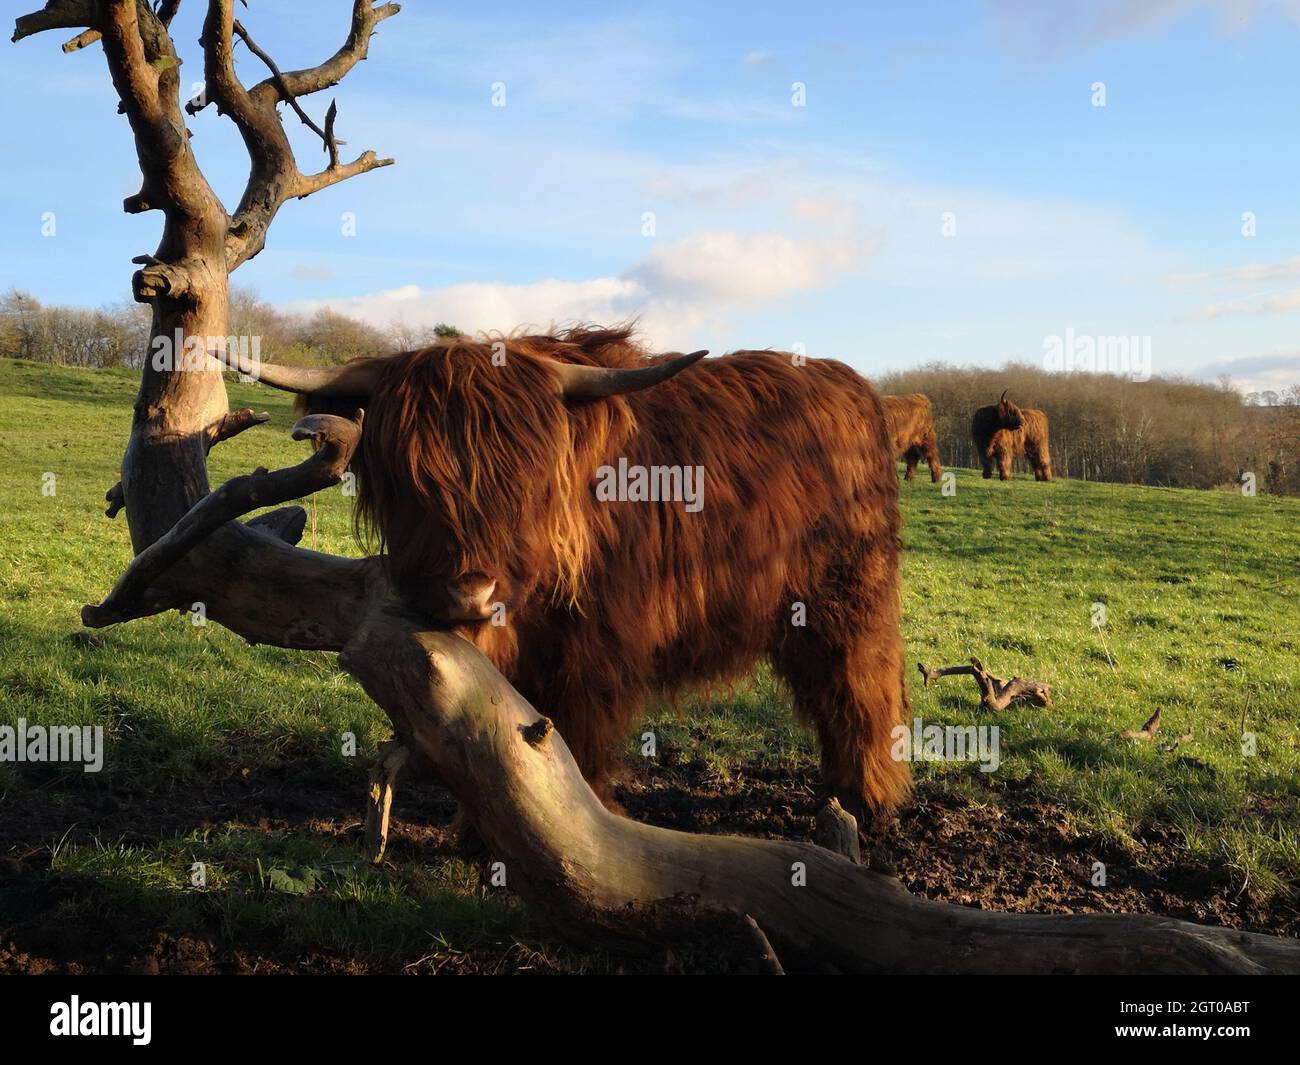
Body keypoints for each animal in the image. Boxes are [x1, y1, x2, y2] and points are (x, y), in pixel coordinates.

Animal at [221, 327, 912, 822]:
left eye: (527, 476)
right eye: (405, 478)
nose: (469, 590)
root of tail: (852, 384)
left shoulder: (599, 645)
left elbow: (577, 733)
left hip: (848, 590)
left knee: (858, 679)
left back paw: (867, 794)